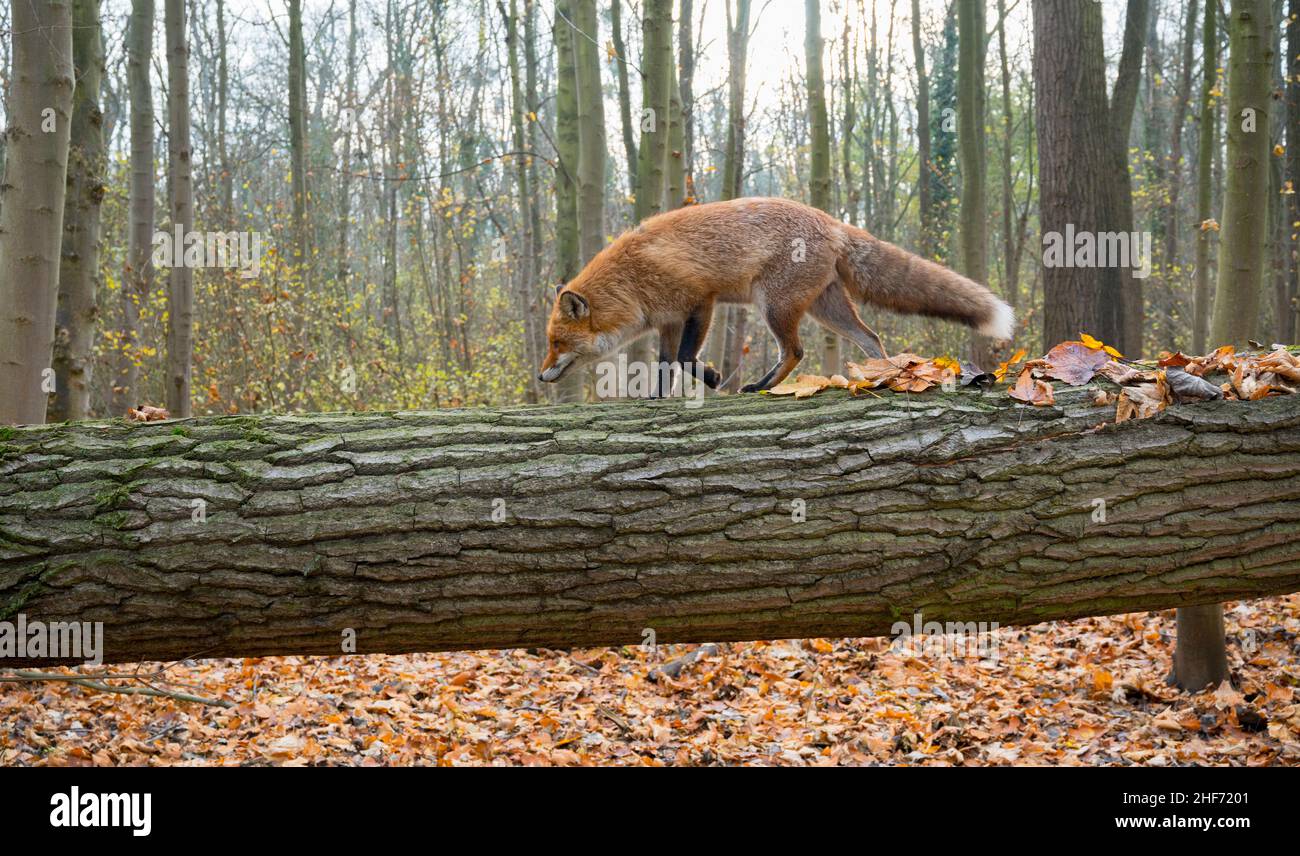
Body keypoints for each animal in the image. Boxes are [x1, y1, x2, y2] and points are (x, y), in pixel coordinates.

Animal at [538, 197, 1014, 393]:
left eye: (556, 343)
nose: (540, 377)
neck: (633, 279)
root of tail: (832, 220)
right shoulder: (669, 320)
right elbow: (664, 367)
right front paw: (655, 403)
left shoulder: (701, 301)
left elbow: (687, 360)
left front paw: (714, 379)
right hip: (826, 308)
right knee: (871, 338)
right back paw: (880, 376)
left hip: (774, 306)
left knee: (796, 351)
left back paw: (762, 386)